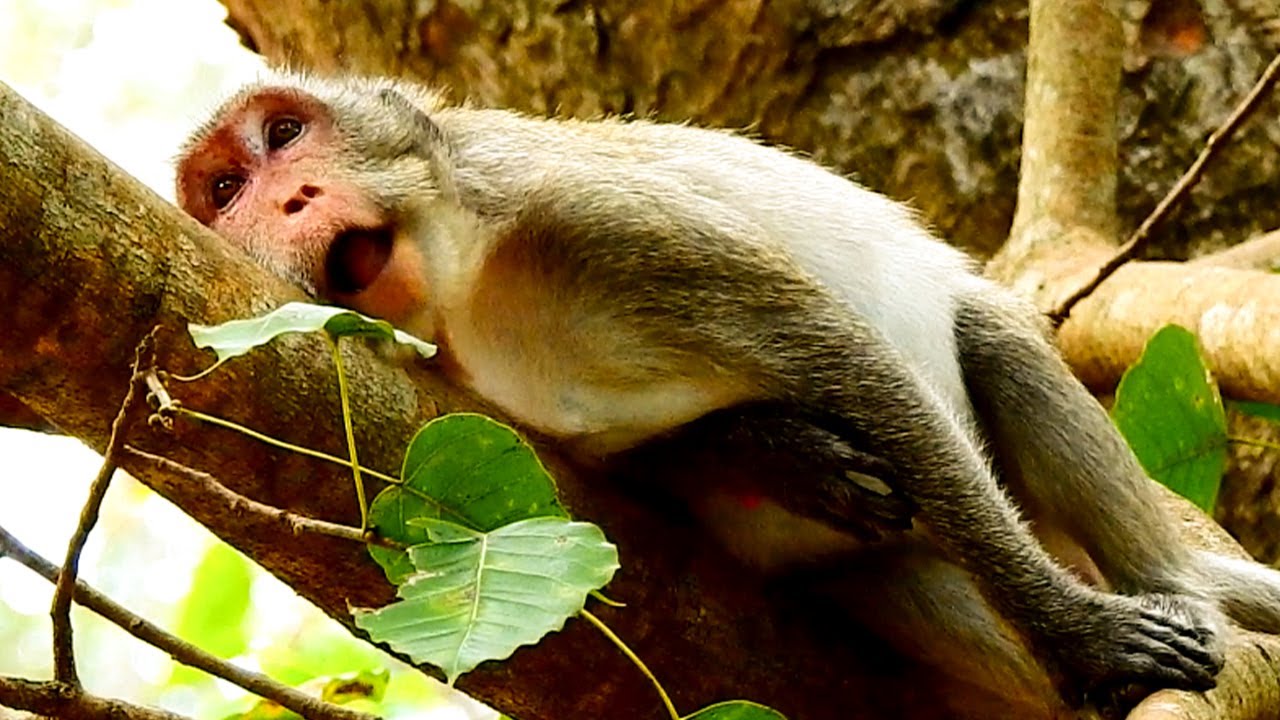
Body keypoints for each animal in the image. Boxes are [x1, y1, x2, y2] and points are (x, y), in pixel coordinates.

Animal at [174, 72, 1280, 713]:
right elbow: (646, 469)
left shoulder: (594, 219)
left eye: (285, 135)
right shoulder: (469, 392)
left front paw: (1083, 635)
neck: (467, 278)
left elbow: (844, 358)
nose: (289, 197)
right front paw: (778, 452)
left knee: (991, 341)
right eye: (227, 190)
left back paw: (1175, 588)